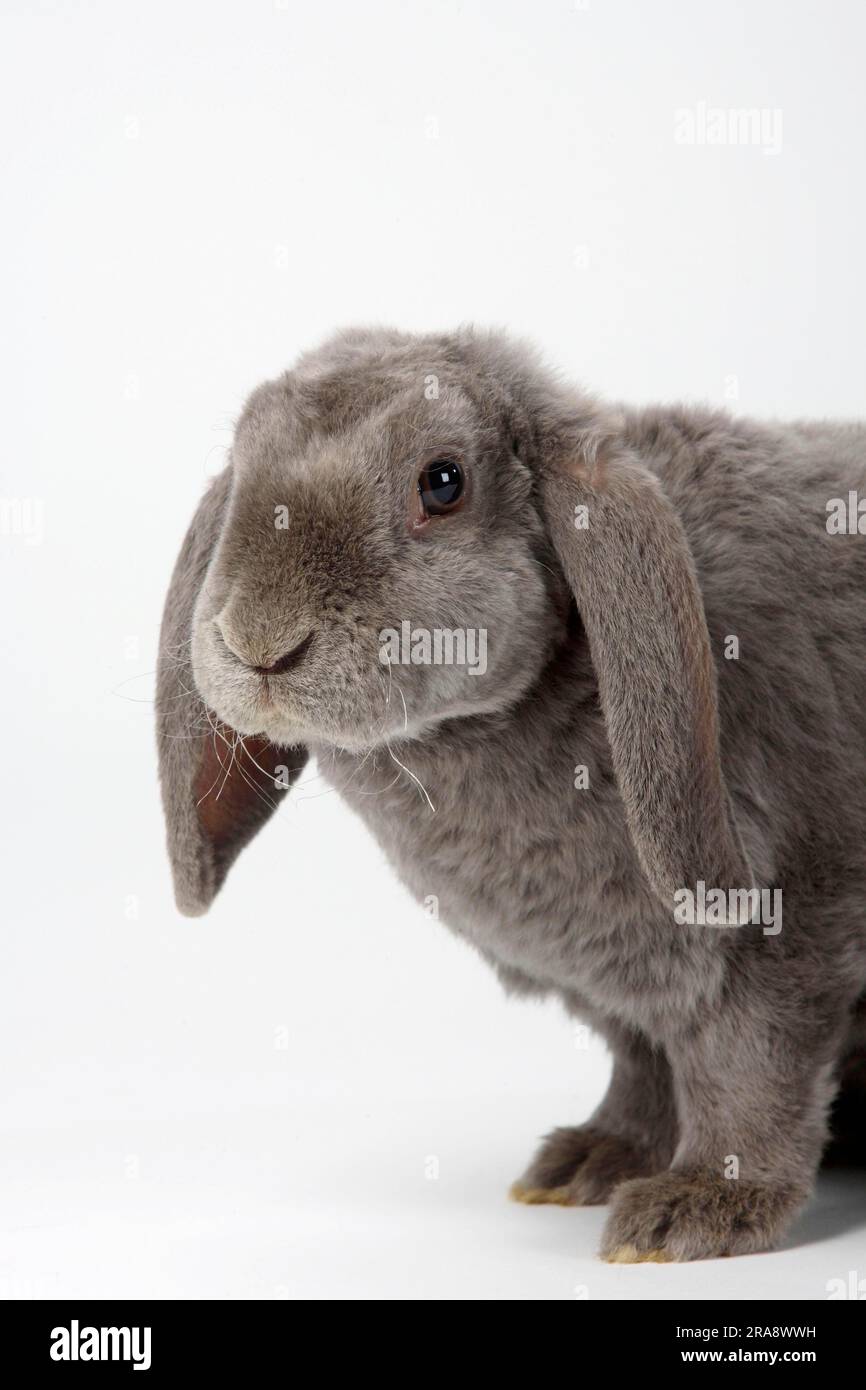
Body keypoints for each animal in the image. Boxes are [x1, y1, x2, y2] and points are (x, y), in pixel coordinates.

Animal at [157, 325, 866, 1263]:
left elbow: (752, 1068)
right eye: (242, 469)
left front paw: (694, 1209)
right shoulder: (632, 990)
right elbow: (646, 1066)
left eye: (443, 481)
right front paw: (592, 1160)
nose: (259, 641)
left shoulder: (790, 933)